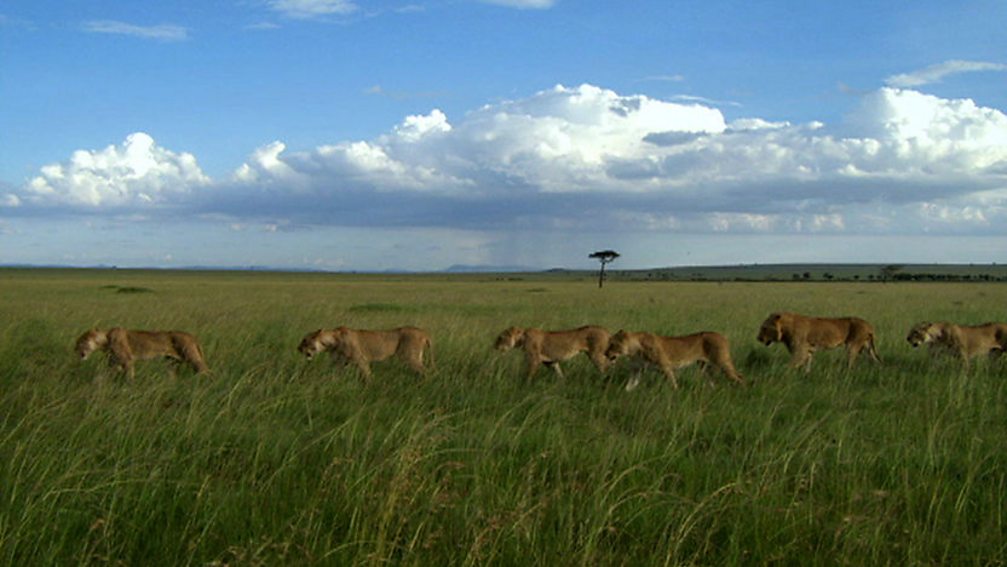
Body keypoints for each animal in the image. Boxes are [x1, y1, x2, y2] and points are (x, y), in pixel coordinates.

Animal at [75, 327, 209, 378]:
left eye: (80, 342)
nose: (75, 350)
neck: (105, 341)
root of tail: (192, 336)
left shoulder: (127, 360)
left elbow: (129, 377)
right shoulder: (113, 364)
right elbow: (102, 376)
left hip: (193, 359)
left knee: (208, 373)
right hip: (172, 363)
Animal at [298, 326, 432, 379]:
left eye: (304, 341)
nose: (298, 348)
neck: (331, 343)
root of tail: (424, 332)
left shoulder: (361, 360)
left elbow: (367, 376)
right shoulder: (338, 363)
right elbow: (333, 375)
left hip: (410, 357)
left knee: (427, 372)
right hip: (416, 357)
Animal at [605, 329, 744, 391]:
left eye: (612, 345)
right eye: (609, 344)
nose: (605, 354)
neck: (633, 351)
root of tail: (723, 336)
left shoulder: (666, 367)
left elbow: (673, 385)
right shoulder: (637, 369)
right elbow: (630, 385)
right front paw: (625, 393)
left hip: (723, 362)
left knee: (740, 377)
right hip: (704, 366)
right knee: (713, 381)